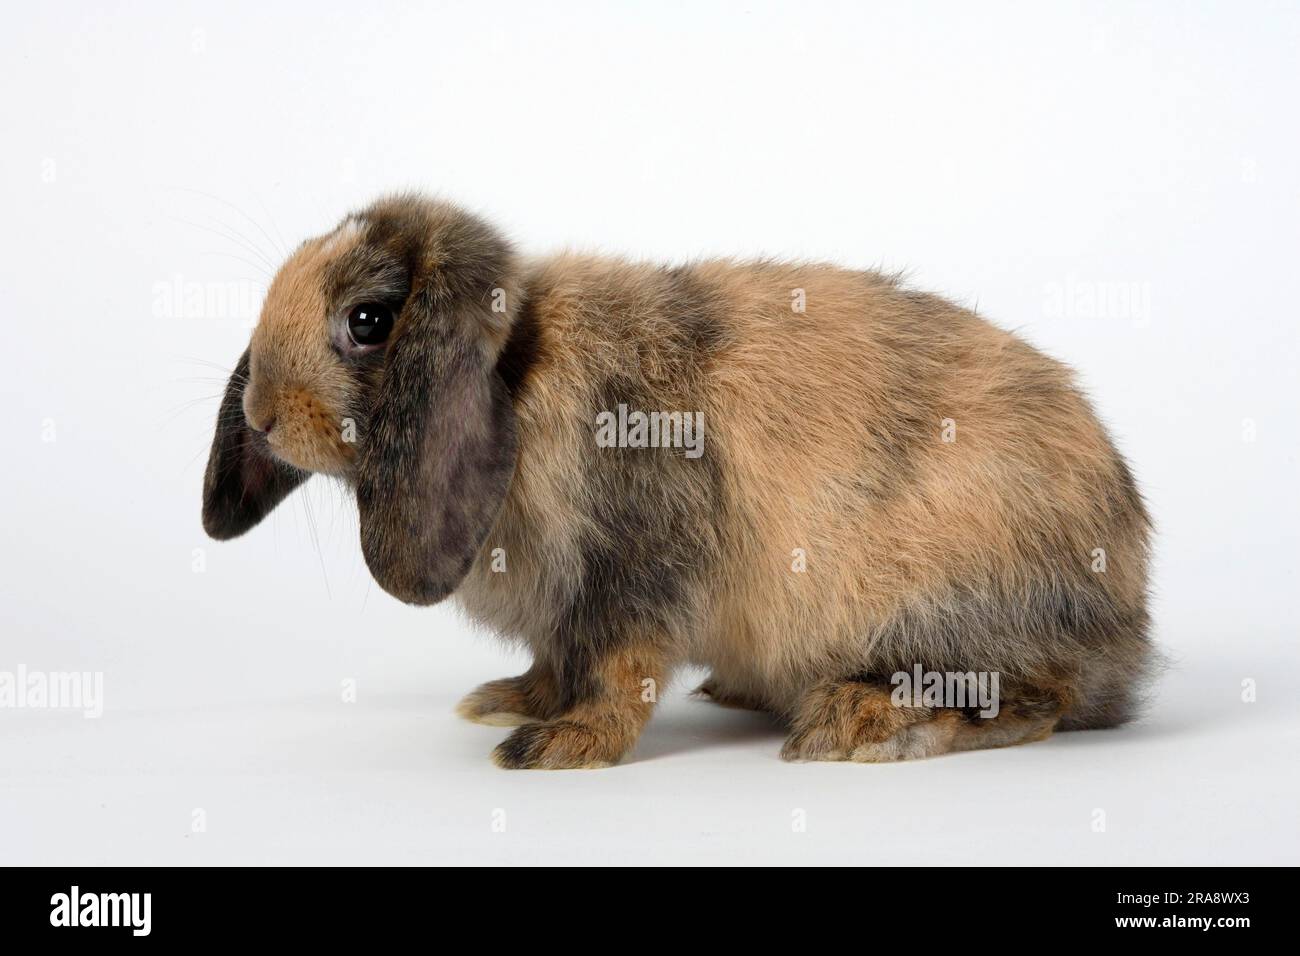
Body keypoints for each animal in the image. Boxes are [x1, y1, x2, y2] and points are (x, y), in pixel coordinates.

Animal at [203, 193, 1153, 769]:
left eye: (367, 321)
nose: (260, 413)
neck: (520, 377)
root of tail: (1129, 619)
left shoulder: (635, 576)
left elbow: (617, 674)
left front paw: (556, 749)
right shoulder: (567, 610)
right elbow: (558, 661)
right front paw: (509, 705)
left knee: (1036, 699)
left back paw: (855, 724)